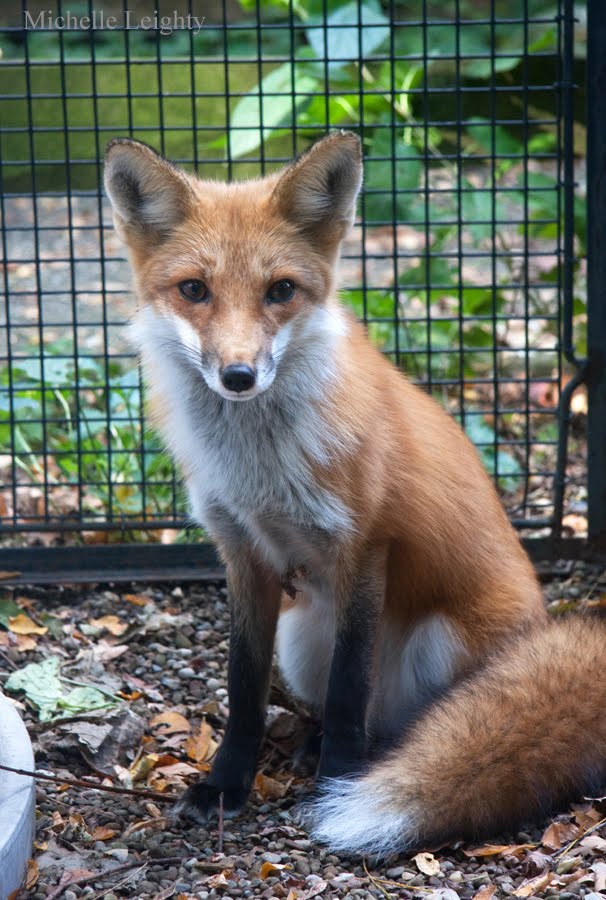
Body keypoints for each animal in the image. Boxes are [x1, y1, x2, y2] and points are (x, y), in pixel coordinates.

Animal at [104, 131, 606, 856]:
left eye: (281, 290)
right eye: (193, 289)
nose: (238, 375)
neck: (258, 468)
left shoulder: (364, 545)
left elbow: (348, 686)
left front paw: (337, 779)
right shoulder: (241, 553)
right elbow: (243, 688)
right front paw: (226, 785)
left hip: (440, 641)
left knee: (408, 721)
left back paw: (376, 758)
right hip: (298, 638)